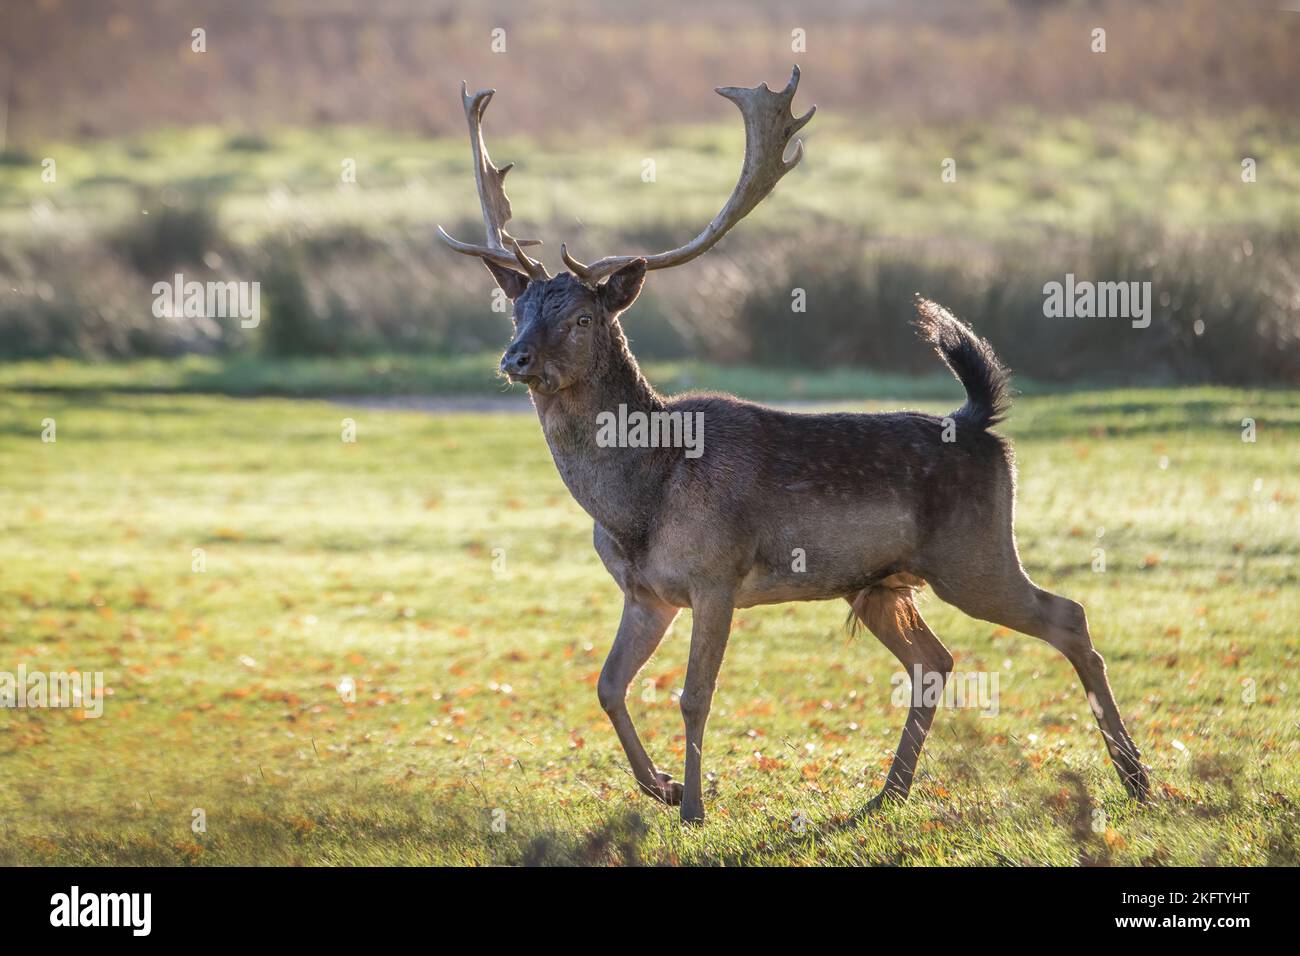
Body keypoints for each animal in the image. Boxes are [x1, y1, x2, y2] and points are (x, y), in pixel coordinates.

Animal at [437, 66, 1150, 824]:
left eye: (579, 317)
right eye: (517, 309)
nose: (514, 359)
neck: (639, 497)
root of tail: (982, 426)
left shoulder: (716, 574)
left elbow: (695, 696)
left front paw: (694, 809)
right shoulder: (646, 591)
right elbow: (607, 686)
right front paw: (661, 787)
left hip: (975, 555)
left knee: (1068, 617)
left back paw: (1136, 778)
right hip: (880, 583)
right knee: (934, 659)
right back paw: (887, 795)